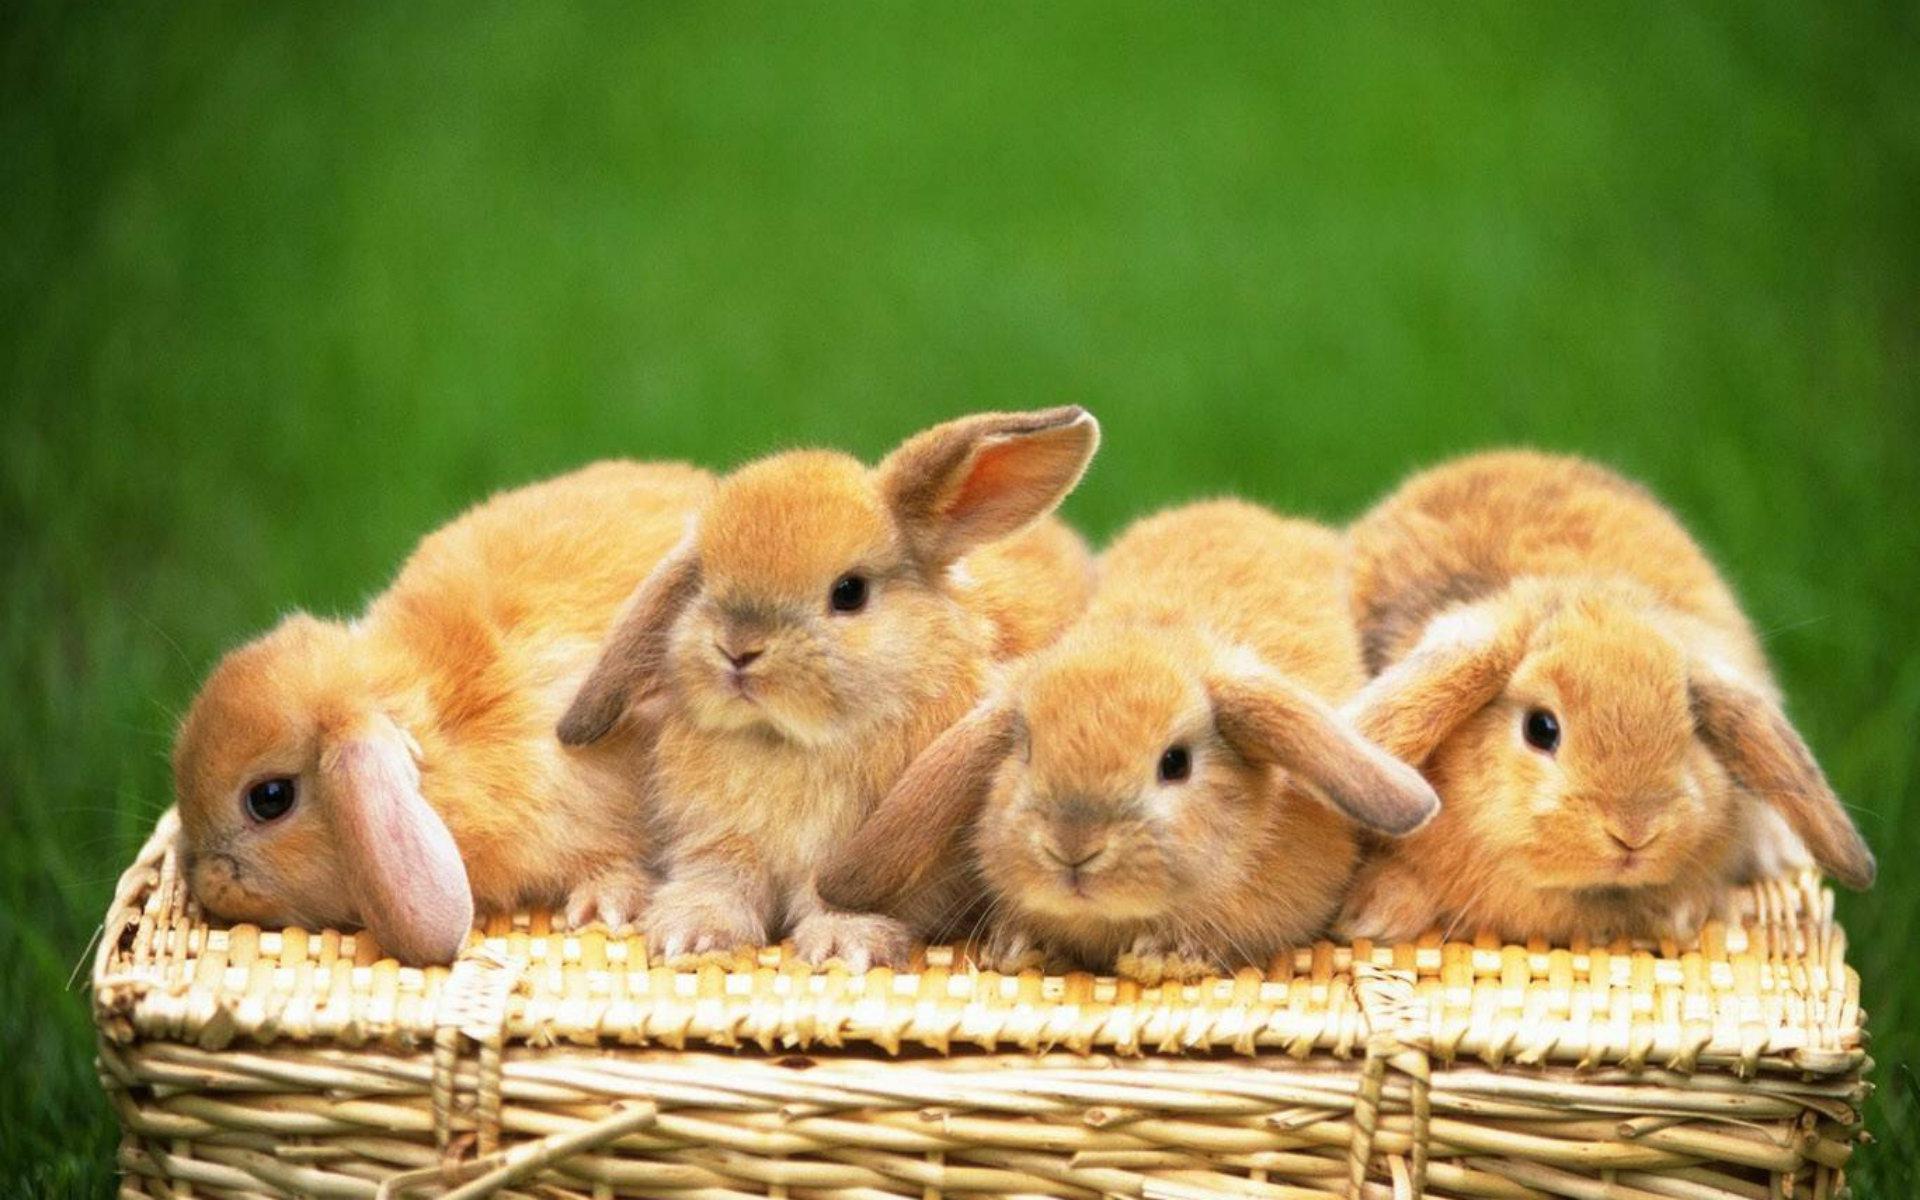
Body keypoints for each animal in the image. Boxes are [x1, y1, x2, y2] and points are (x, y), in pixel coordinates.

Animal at [557, 407, 1101, 970]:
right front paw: (690, 934)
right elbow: (718, 882)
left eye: (849, 592)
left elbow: (838, 901)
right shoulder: (720, 842)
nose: (737, 648)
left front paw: (845, 947)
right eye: (704, 579)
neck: (789, 742)